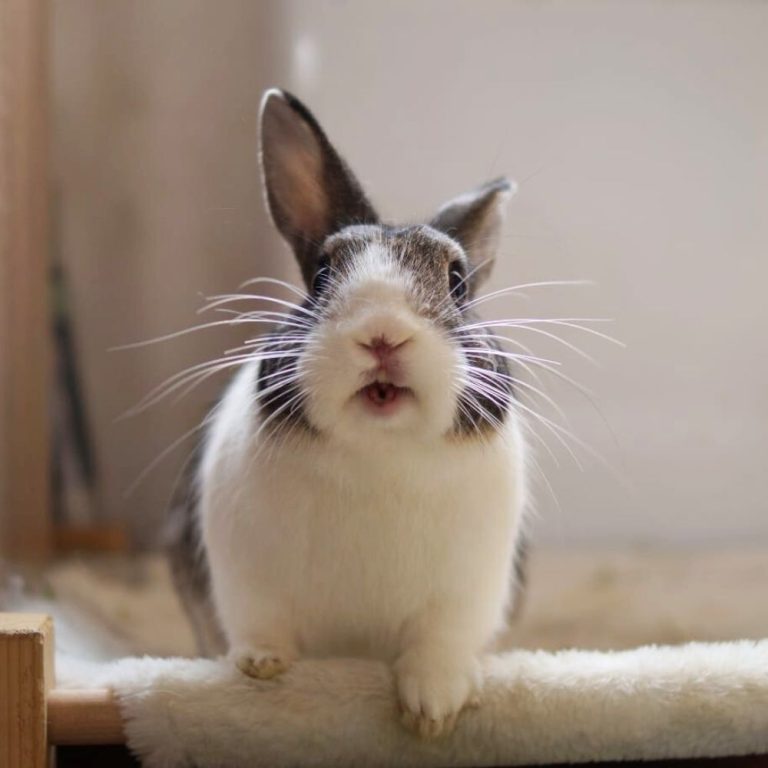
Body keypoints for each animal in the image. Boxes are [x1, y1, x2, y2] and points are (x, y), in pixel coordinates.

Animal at [168, 88, 529, 739]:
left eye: (457, 280)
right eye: (321, 274)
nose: (382, 333)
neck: (378, 450)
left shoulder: (466, 595)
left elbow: (439, 644)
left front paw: (433, 708)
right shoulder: (245, 579)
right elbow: (261, 623)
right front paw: (260, 664)